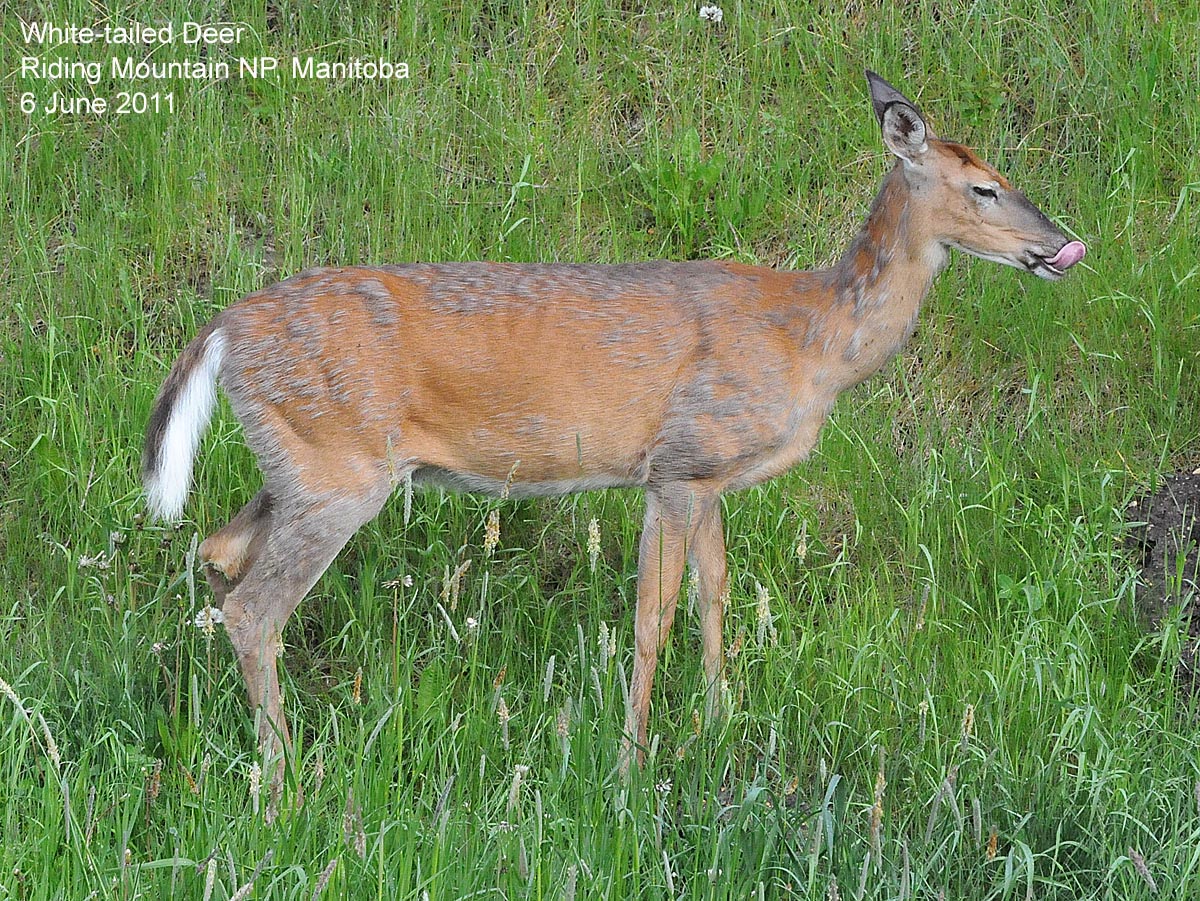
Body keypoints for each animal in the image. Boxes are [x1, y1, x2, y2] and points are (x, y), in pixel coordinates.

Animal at [142, 71, 1086, 790]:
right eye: (984, 186)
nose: (1064, 245)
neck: (814, 342)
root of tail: (222, 330)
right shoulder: (678, 464)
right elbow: (650, 616)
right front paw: (631, 763)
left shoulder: (706, 473)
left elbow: (716, 591)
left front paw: (719, 720)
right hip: (337, 471)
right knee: (253, 607)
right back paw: (282, 782)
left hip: (299, 463)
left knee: (217, 553)